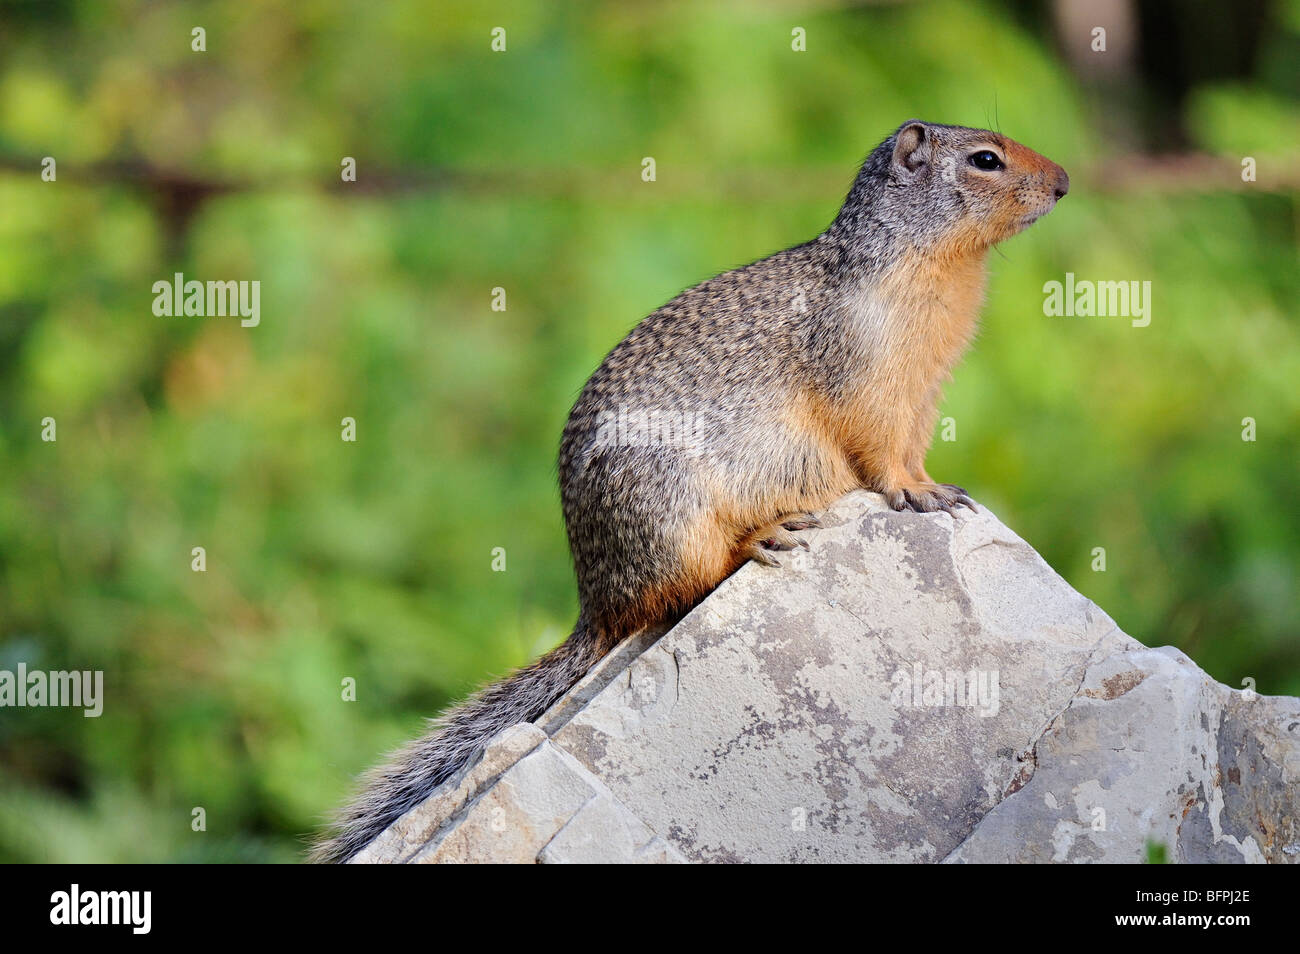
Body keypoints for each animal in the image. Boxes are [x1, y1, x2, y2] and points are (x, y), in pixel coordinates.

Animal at [311, 120, 1068, 862]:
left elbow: (911, 448)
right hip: (671, 517)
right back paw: (762, 536)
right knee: (685, 588)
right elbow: (881, 453)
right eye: (986, 159)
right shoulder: (869, 376)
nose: (1064, 181)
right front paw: (920, 496)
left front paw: (938, 484)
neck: (924, 263)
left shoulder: (925, 393)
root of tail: (597, 604)